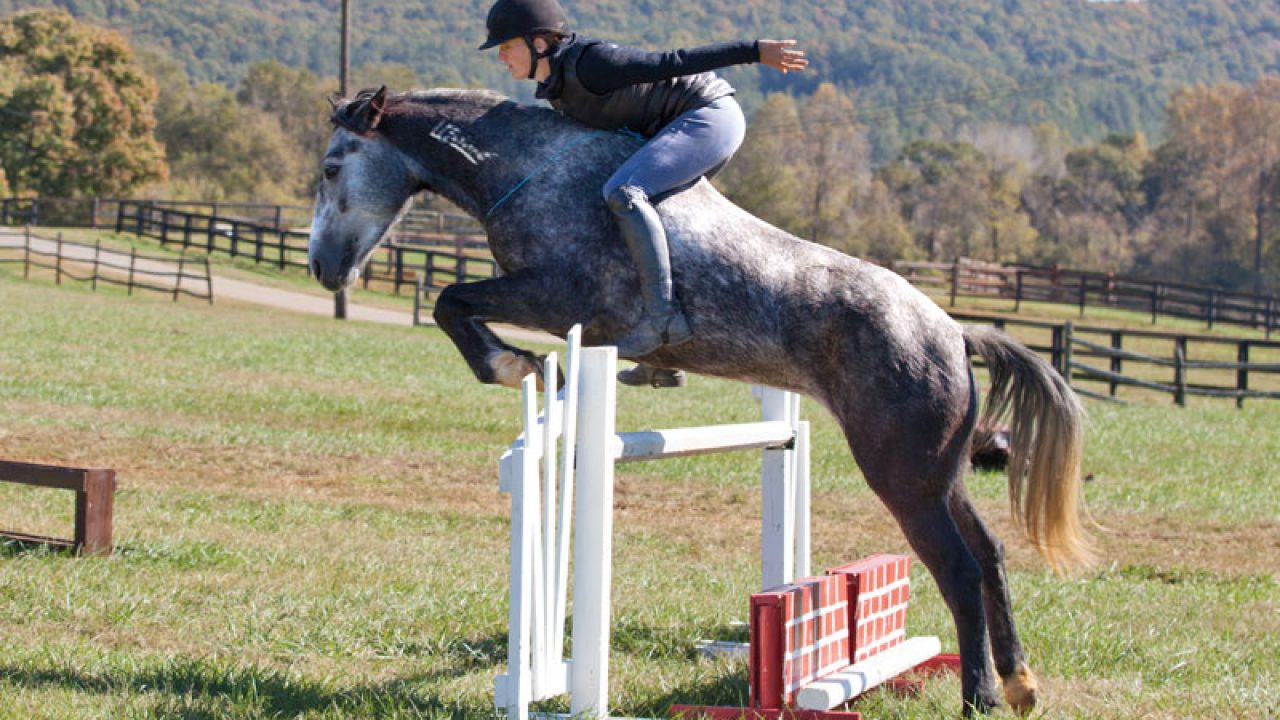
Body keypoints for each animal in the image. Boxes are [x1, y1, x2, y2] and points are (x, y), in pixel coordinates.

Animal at [308, 86, 1091, 716]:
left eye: (332, 167)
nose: (321, 268)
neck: (530, 170)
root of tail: (953, 332)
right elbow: (457, 303)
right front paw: (541, 366)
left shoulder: (558, 295)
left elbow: (451, 299)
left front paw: (513, 363)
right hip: (938, 474)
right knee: (990, 554)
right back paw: (1020, 683)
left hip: (902, 478)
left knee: (960, 569)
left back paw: (980, 696)